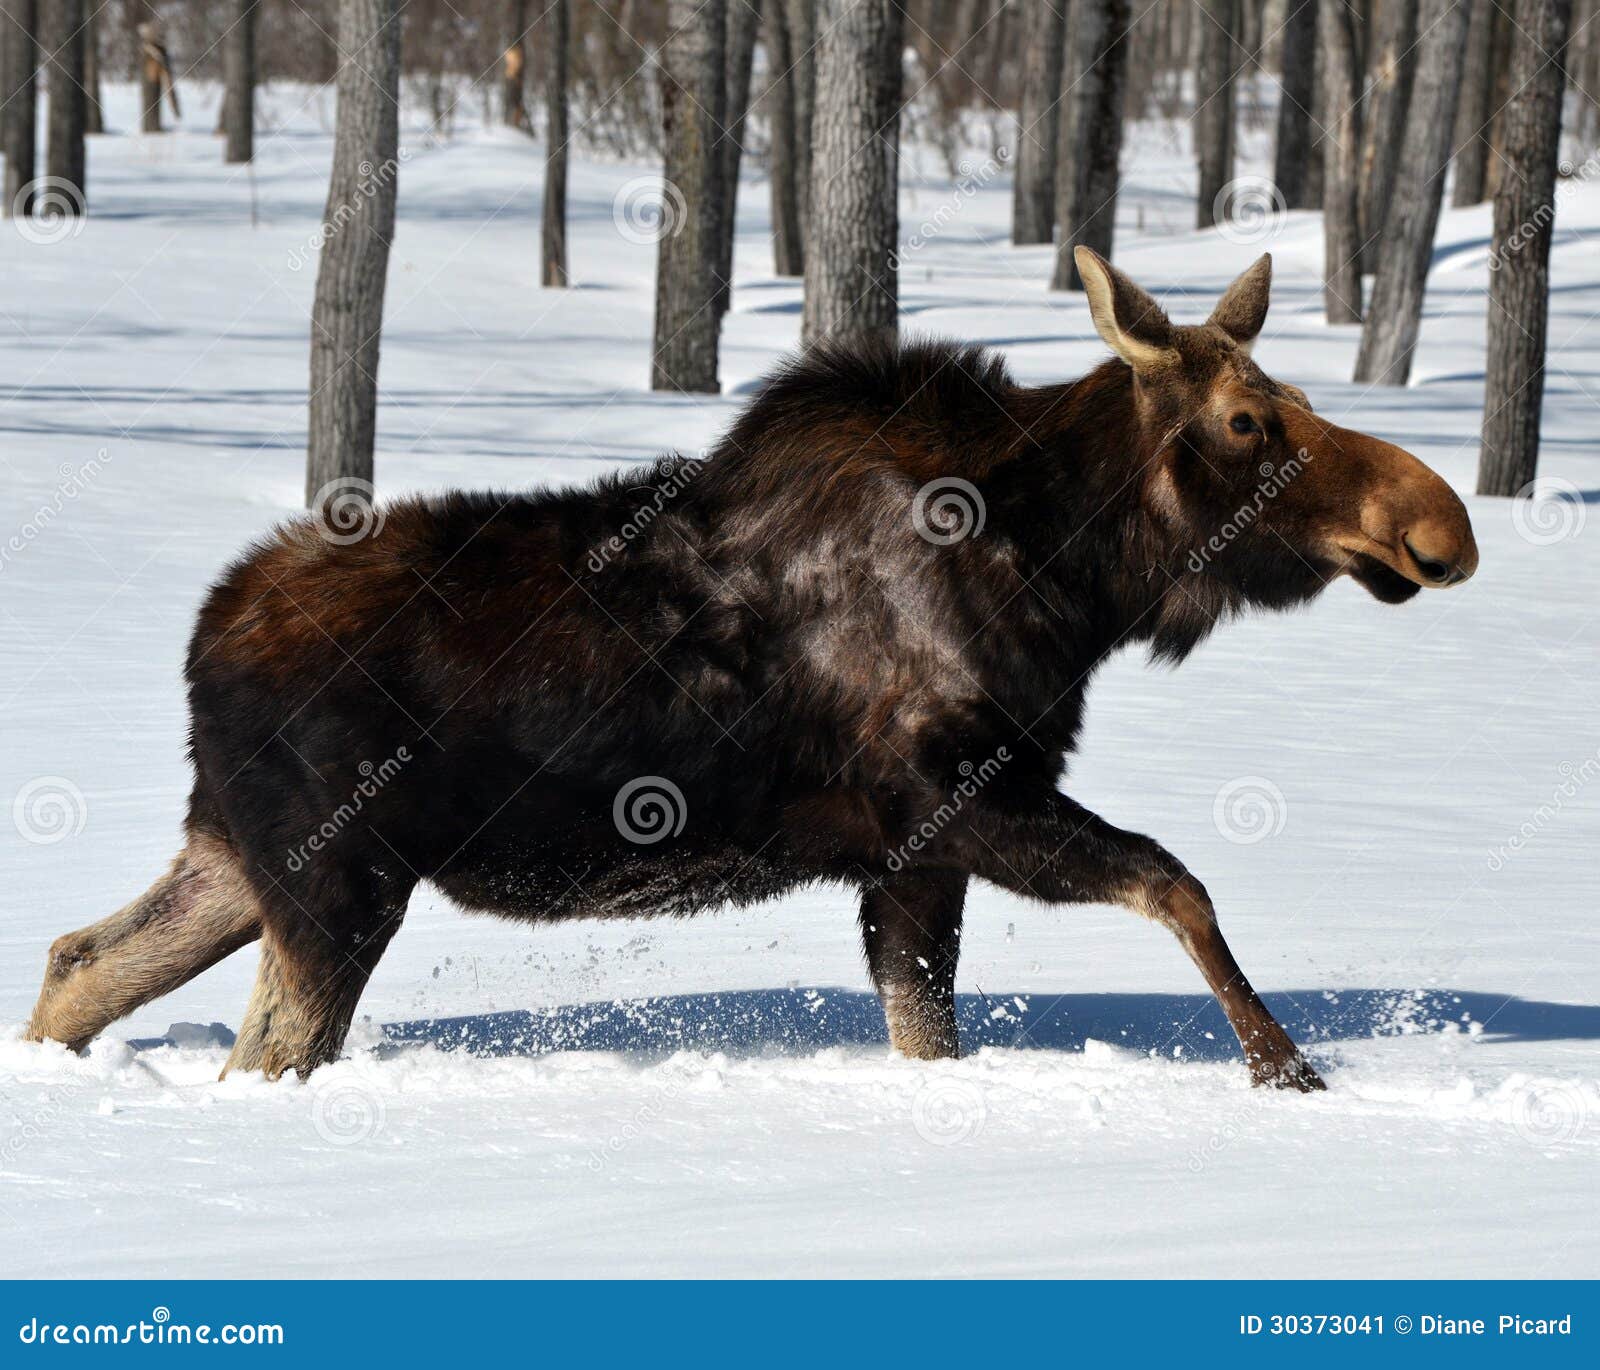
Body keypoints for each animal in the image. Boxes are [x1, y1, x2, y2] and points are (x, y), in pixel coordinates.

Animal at [26, 250, 1477, 1093]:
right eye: (1243, 420)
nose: (1439, 524)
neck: (1075, 581)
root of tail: (202, 641)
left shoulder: (919, 849)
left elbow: (932, 1025)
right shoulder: (956, 796)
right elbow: (1180, 884)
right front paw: (1285, 1065)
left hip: (240, 853)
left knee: (78, 958)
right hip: (336, 877)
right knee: (259, 1053)